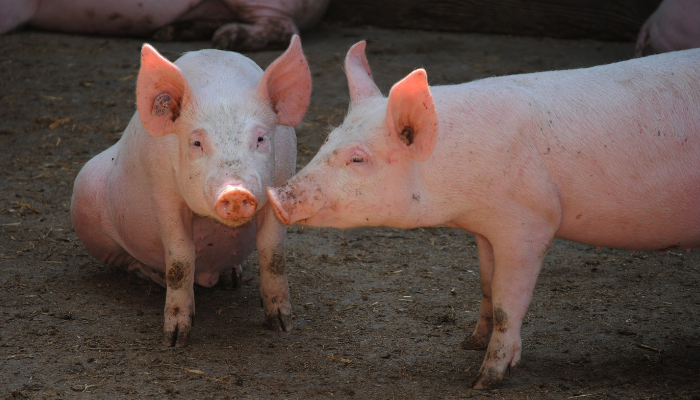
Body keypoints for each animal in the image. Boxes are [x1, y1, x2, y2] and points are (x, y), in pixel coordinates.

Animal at [71, 35, 311, 346]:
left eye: (260, 138)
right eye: (196, 142)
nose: (236, 192)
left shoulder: (281, 179)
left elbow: (273, 253)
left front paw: (282, 325)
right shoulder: (163, 192)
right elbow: (180, 258)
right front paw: (174, 340)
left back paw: (232, 278)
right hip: (84, 207)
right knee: (122, 261)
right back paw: (154, 276)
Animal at [267, 42, 700, 388]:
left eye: (358, 158)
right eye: (328, 138)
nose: (274, 195)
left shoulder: (530, 223)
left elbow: (508, 301)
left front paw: (484, 380)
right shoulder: (485, 231)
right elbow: (487, 285)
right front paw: (468, 342)